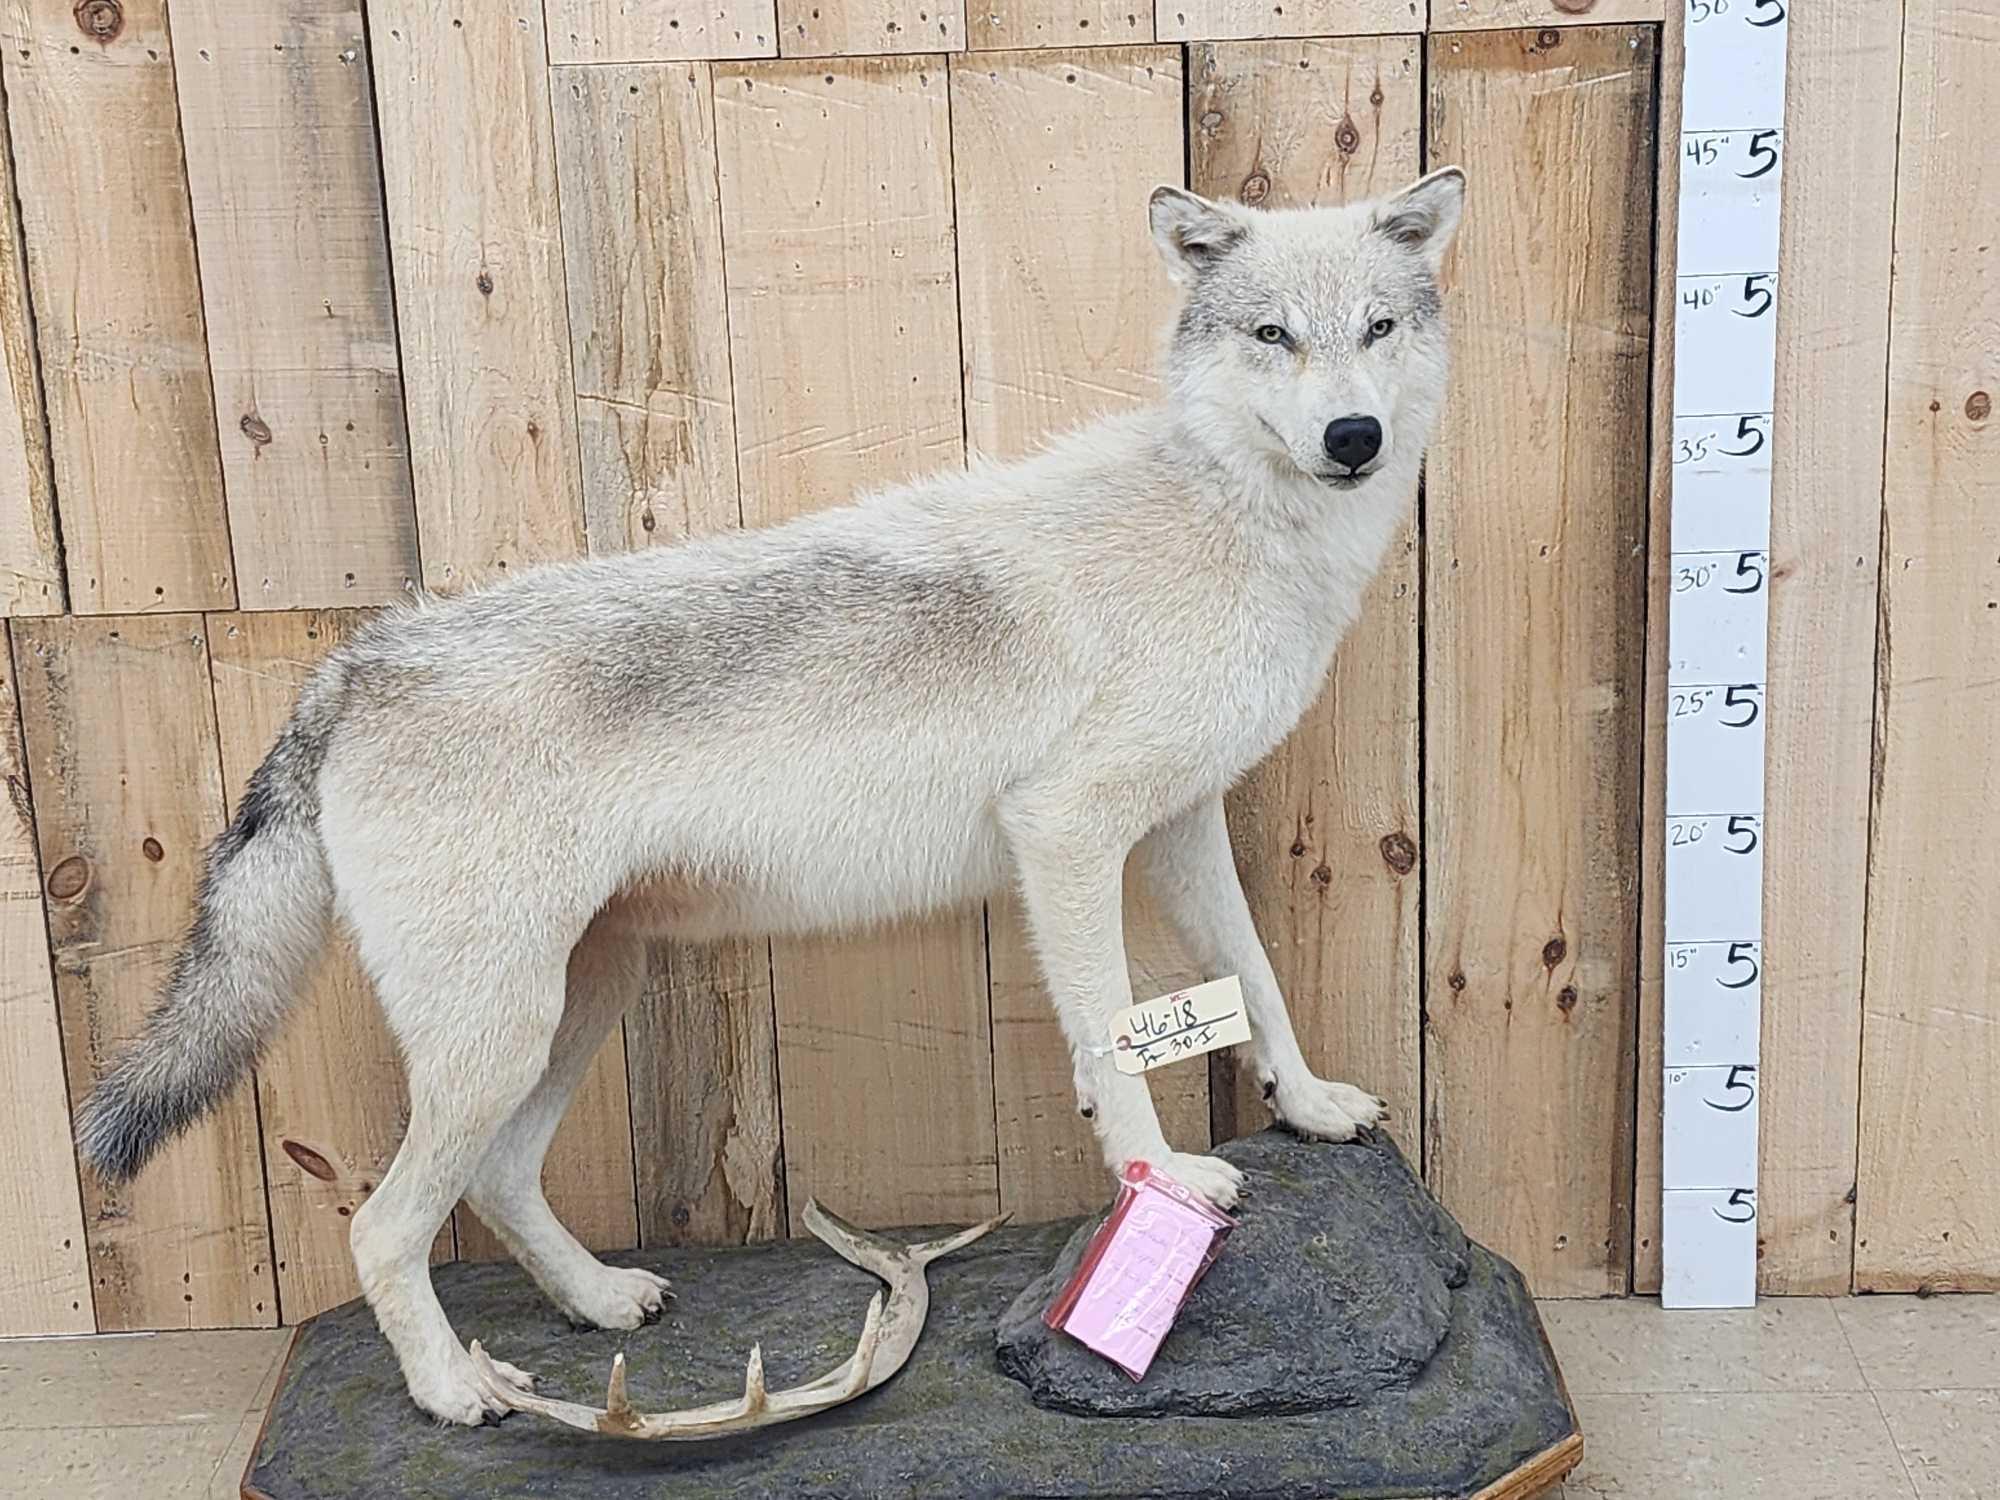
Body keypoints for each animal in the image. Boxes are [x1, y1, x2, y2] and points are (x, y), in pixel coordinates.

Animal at [74, 165, 1464, 1425]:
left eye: (1375, 330)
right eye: (1271, 335)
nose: (1353, 439)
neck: (1234, 524)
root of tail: (354, 664)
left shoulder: (1176, 827)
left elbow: (1257, 979)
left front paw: (1308, 1108)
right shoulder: (1066, 832)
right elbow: (1113, 1042)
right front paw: (1158, 1177)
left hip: (574, 1004)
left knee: (501, 1182)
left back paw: (598, 1301)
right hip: (505, 1032)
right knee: (379, 1227)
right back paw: (455, 1389)